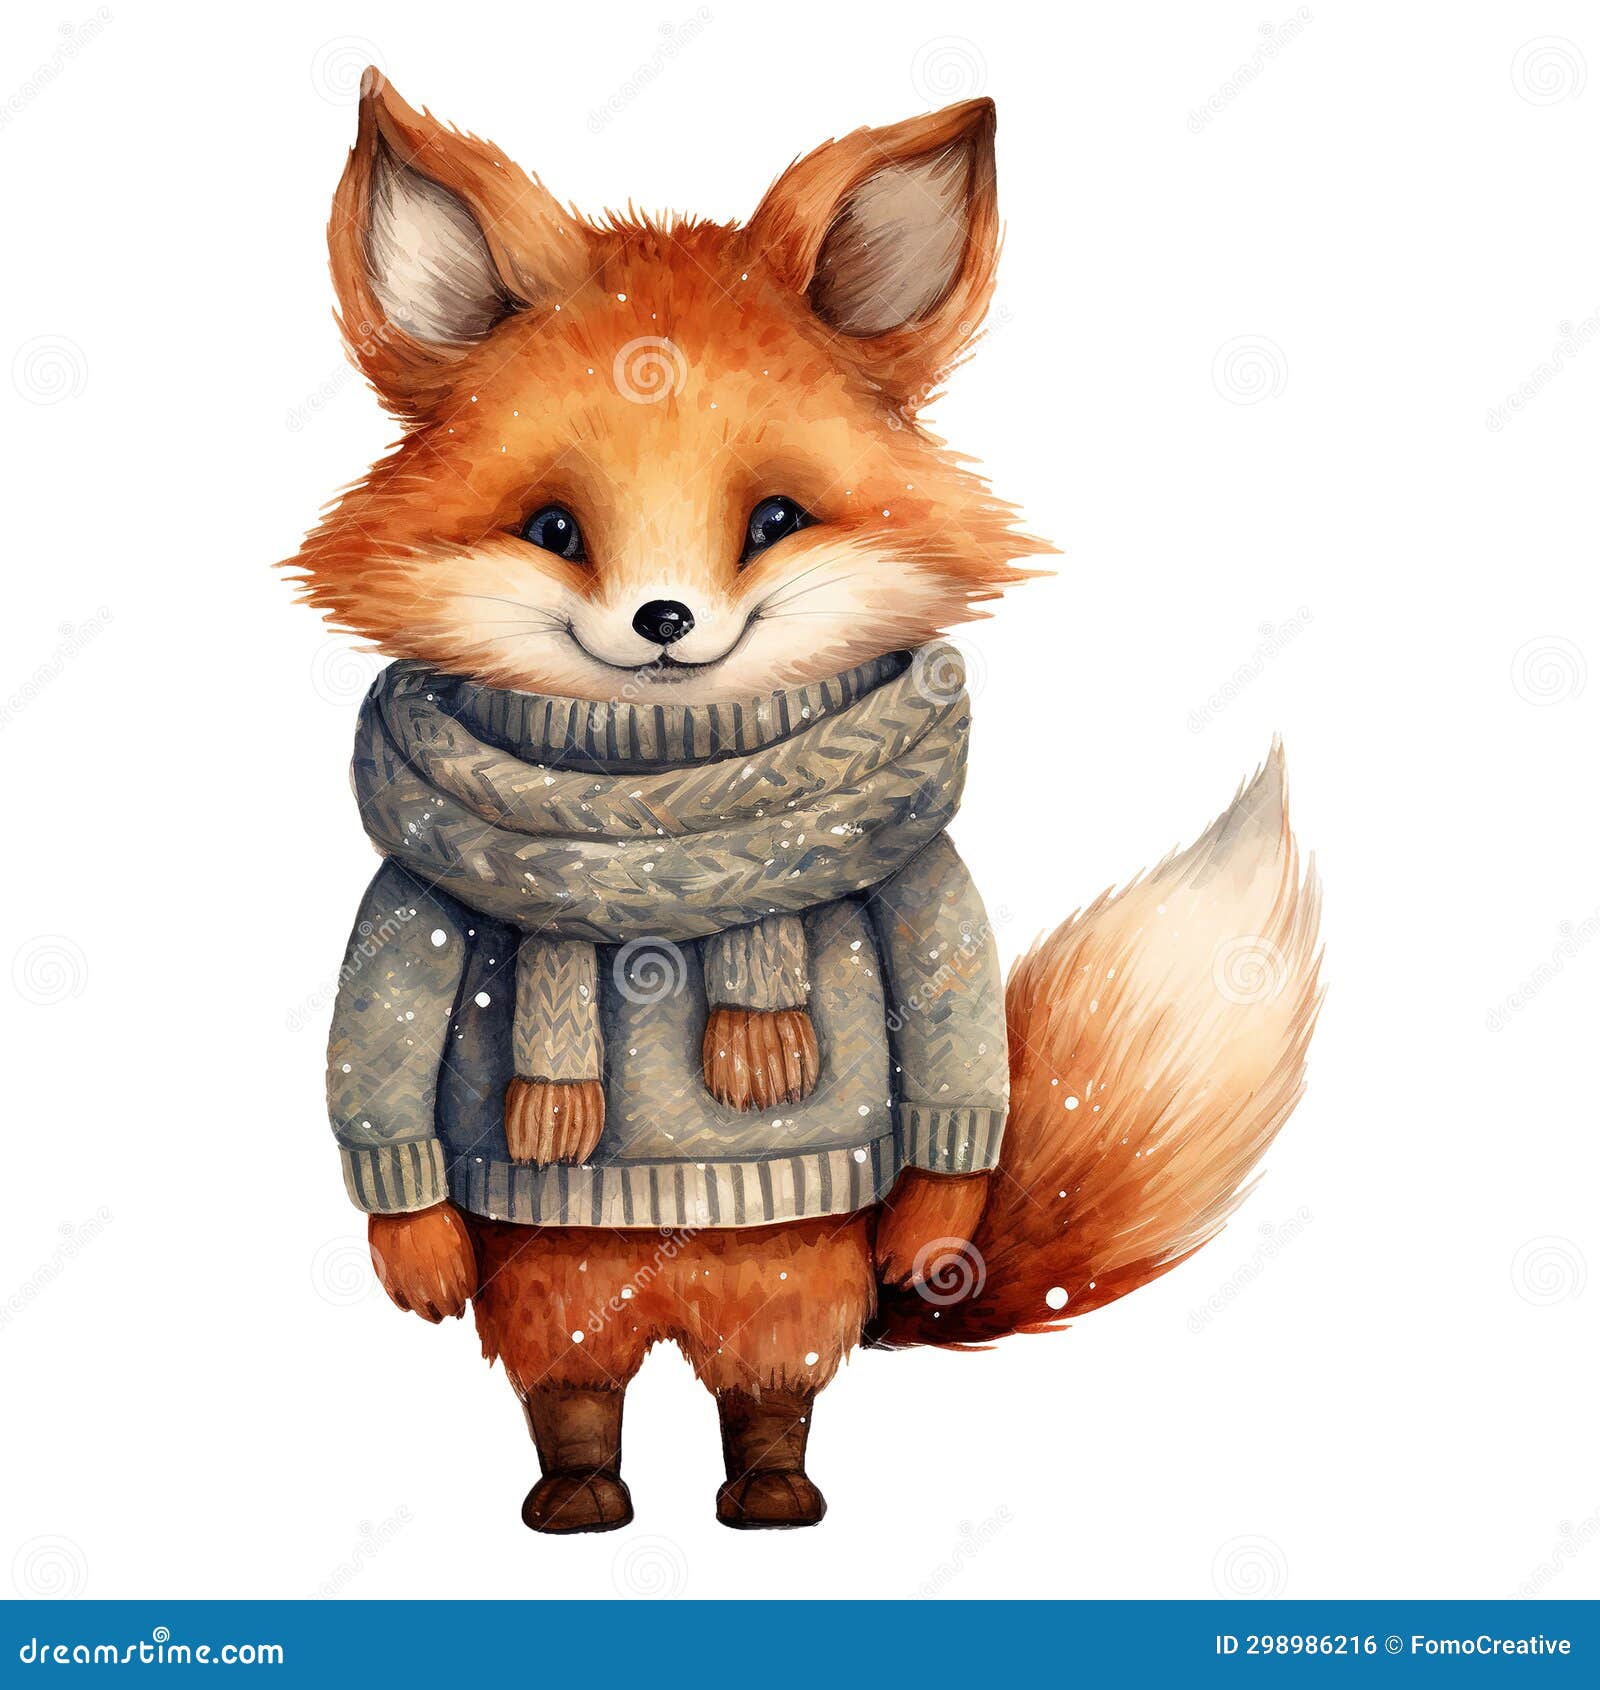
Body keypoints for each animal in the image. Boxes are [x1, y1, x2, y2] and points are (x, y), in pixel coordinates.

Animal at [289, 71, 1322, 1533]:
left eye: (774, 518)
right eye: (554, 530)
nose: (665, 621)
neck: (666, 792)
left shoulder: (916, 877)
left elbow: (952, 1019)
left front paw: (932, 1217)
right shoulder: (417, 905)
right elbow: (380, 1028)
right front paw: (417, 1250)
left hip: (791, 1263)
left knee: (770, 1369)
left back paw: (772, 1488)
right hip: (556, 1272)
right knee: (574, 1369)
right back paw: (581, 1493)